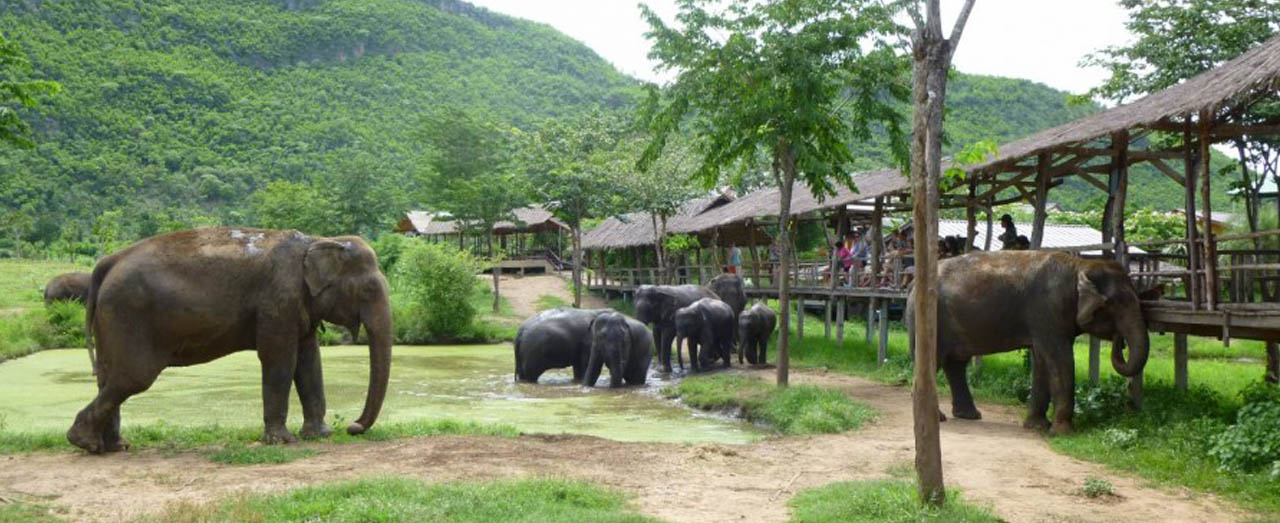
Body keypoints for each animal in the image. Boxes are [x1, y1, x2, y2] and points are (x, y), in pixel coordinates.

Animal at [67, 228, 392, 454]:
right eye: (367, 290)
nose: (353, 426)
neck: (316, 240)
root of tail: (108, 262)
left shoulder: (299, 307)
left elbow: (309, 361)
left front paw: (319, 435)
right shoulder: (277, 302)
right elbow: (280, 358)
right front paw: (282, 441)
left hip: (111, 318)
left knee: (109, 378)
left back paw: (112, 447)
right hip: (126, 314)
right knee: (132, 377)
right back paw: (85, 442)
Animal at [906, 250, 1150, 435]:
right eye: (1114, 304)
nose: (1120, 340)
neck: (1080, 265)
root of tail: (912, 284)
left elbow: (1042, 360)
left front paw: (1037, 427)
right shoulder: (1047, 309)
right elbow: (1058, 358)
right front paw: (1063, 433)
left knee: (956, 364)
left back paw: (969, 416)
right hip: (929, 321)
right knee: (934, 360)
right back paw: (937, 419)